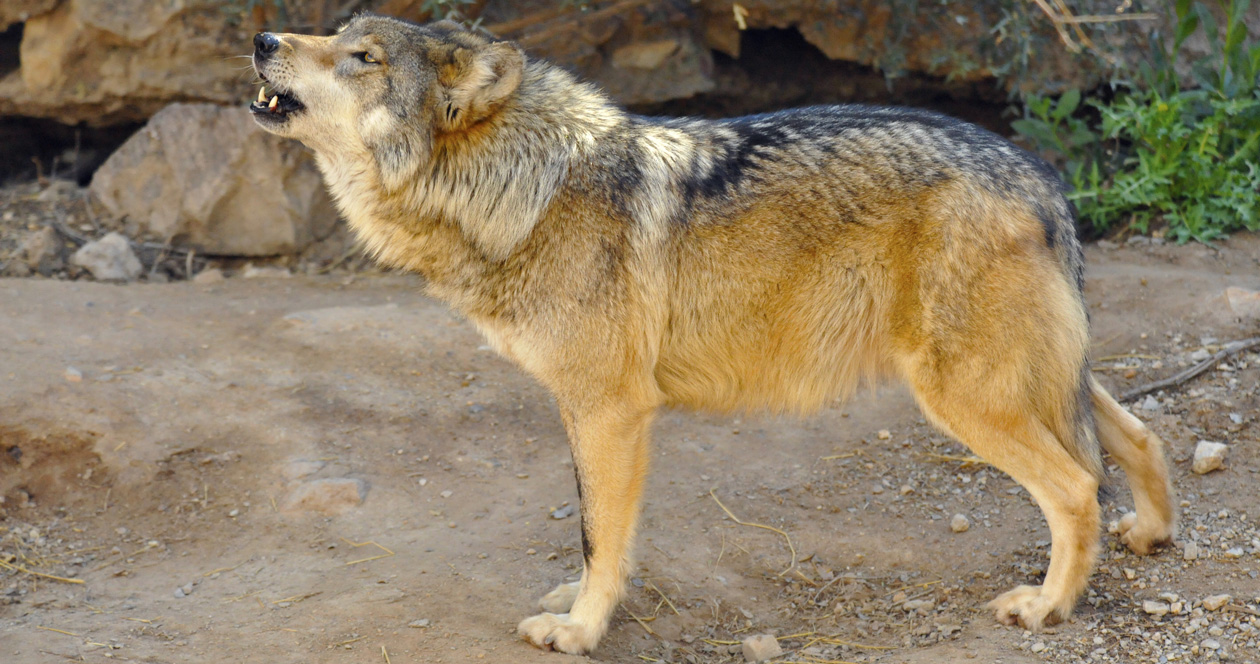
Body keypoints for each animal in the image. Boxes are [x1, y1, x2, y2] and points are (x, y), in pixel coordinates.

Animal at [249, 13, 1175, 654]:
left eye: (362, 57)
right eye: (333, 32)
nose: (261, 37)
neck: (524, 188)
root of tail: (1040, 176)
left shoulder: (610, 409)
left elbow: (599, 534)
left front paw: (580, 633)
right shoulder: (591, 413)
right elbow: (599, 532)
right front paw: (578, 604)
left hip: (964, 396)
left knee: (1076, 487)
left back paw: (1048, 606)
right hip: (1036, 377)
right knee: (1140, 435)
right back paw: (1150, 535)